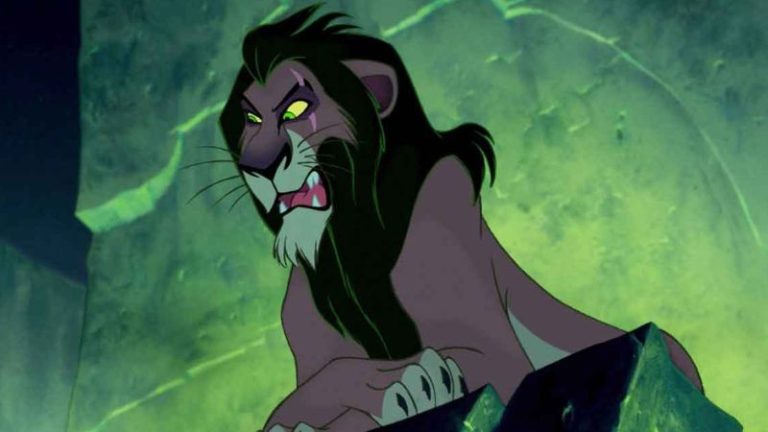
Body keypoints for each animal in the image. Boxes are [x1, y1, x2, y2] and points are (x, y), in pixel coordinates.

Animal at [217, 6, 703, 431]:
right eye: (251, 118)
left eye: (296, 109)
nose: (256, 166)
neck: (349, 239)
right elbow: (314, 385)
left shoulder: (448, 214)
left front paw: (407, 383)